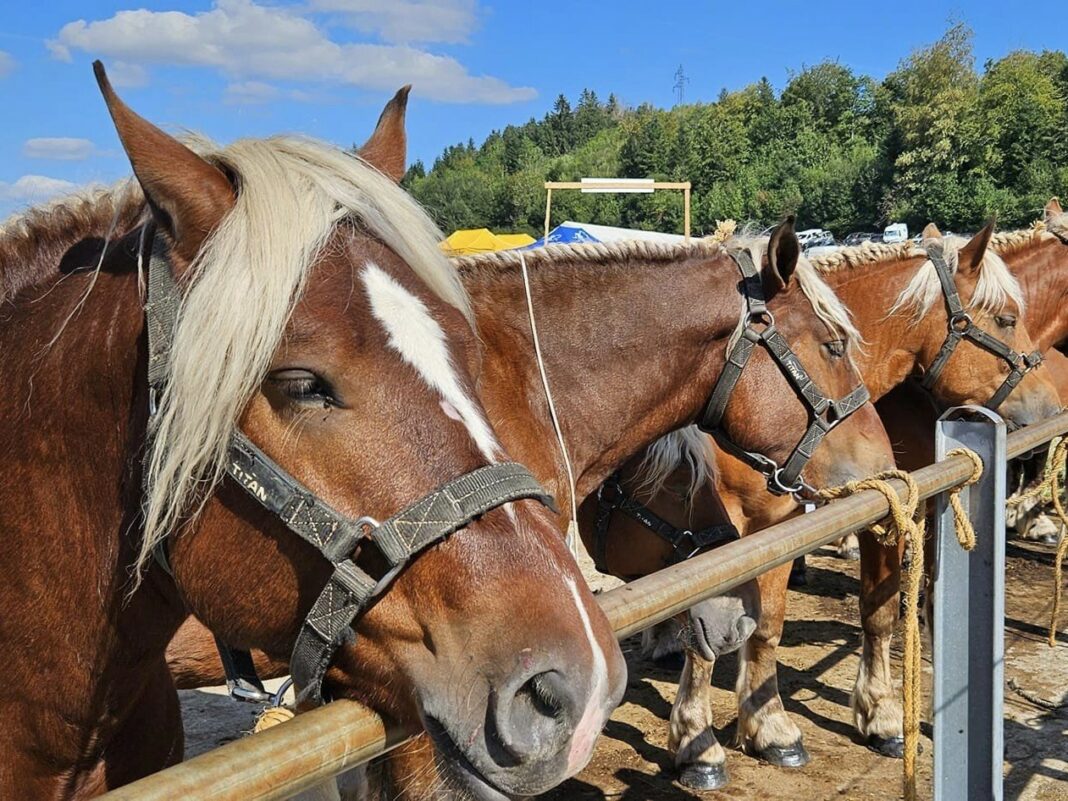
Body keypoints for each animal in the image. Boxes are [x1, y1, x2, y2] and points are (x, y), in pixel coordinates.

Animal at [589, 223, 1062, 789]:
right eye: (1008, 318)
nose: (1050, 407)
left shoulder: (840, 515)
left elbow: (821, 618)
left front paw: (809, 722)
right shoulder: (722, 539)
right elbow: (709, 640)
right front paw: (698, 745)